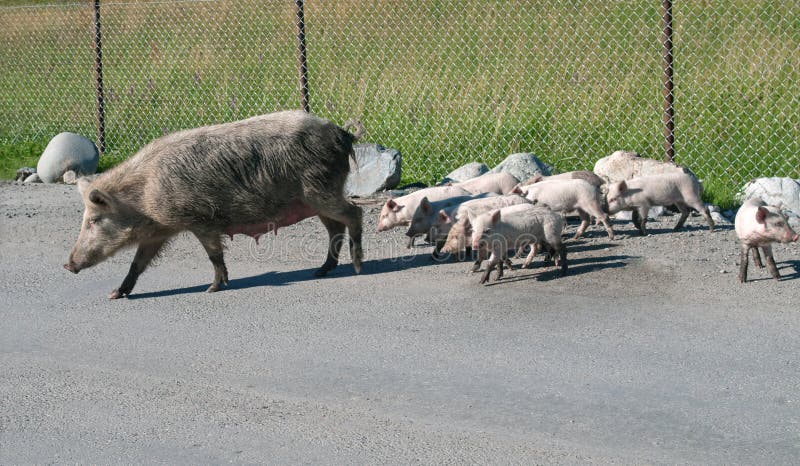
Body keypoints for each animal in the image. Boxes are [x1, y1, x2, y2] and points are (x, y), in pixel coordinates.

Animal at [64, 110, 364, 298]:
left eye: (94, 220)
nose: (67, 265)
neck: (144, 198)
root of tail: (342, 133)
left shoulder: (201, 219)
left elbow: (214, 254)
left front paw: (211, 289)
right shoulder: (158, 233)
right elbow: (137, 264)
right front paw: (115, 294)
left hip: (320, 190)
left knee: (354, 213)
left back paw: (357, 267)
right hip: (313, 199)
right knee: (335, 227)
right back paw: (320, 271)